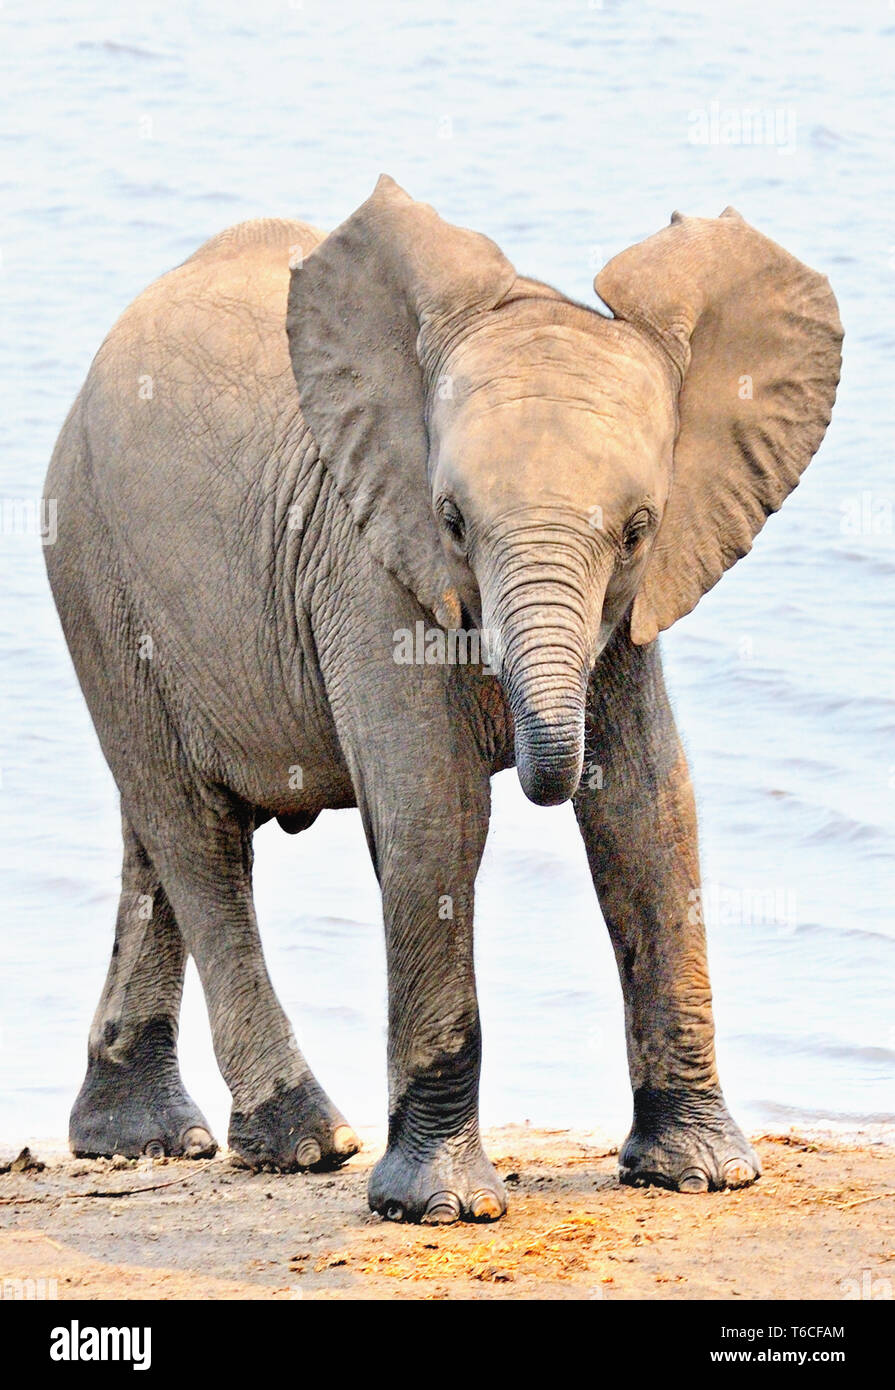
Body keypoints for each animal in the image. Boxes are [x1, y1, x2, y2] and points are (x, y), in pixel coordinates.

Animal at [44, 175, 842, 1223]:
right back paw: (305, 1142)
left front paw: (700, 1174)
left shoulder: (632, 614)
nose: (538, 771)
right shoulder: (370, 566)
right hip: (93, 568)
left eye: (638, 530)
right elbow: (436, 816)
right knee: (196, 836)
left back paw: (138, 1140)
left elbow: (647, 810)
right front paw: (444, 1207)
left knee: (154, 835)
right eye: (452, 520)